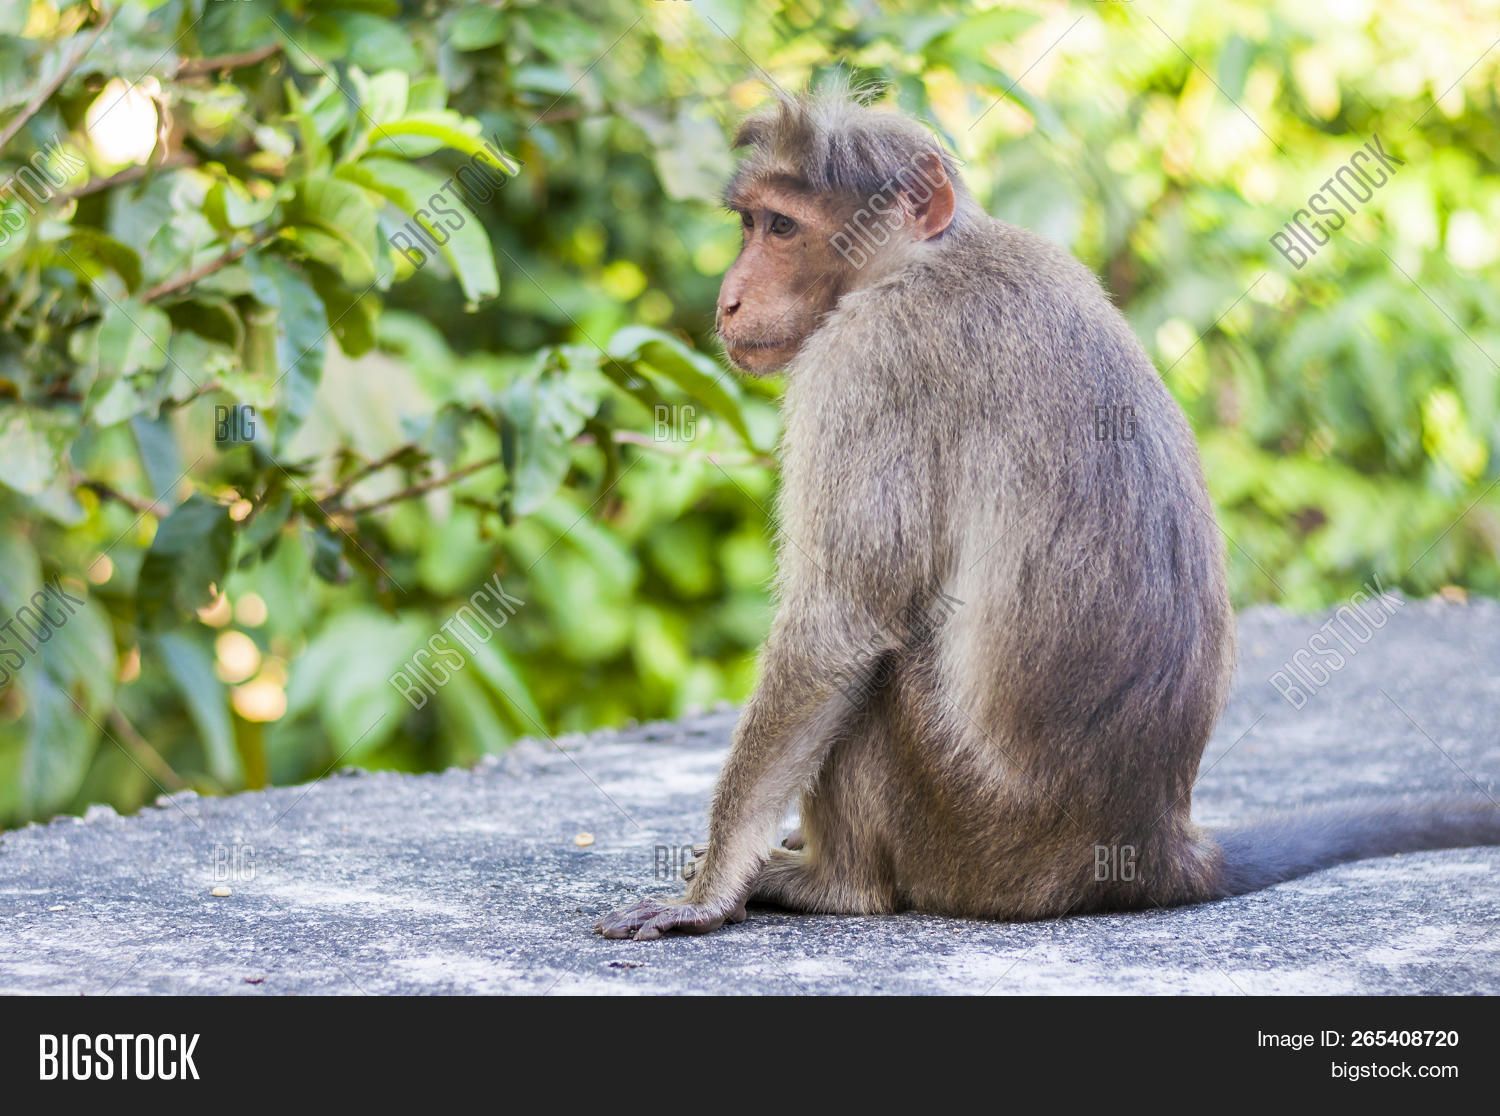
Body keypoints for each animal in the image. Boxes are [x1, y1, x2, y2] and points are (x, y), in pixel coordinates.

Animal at [596, 83, 1500, 941]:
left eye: (783, 227)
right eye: (750, 222)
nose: (730, 299)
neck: (922, 258)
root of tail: (1151, 845)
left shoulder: (866, 359)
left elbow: (839, 624)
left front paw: (709, 892)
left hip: (973, 828)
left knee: (881, 664)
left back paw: (836, 884)